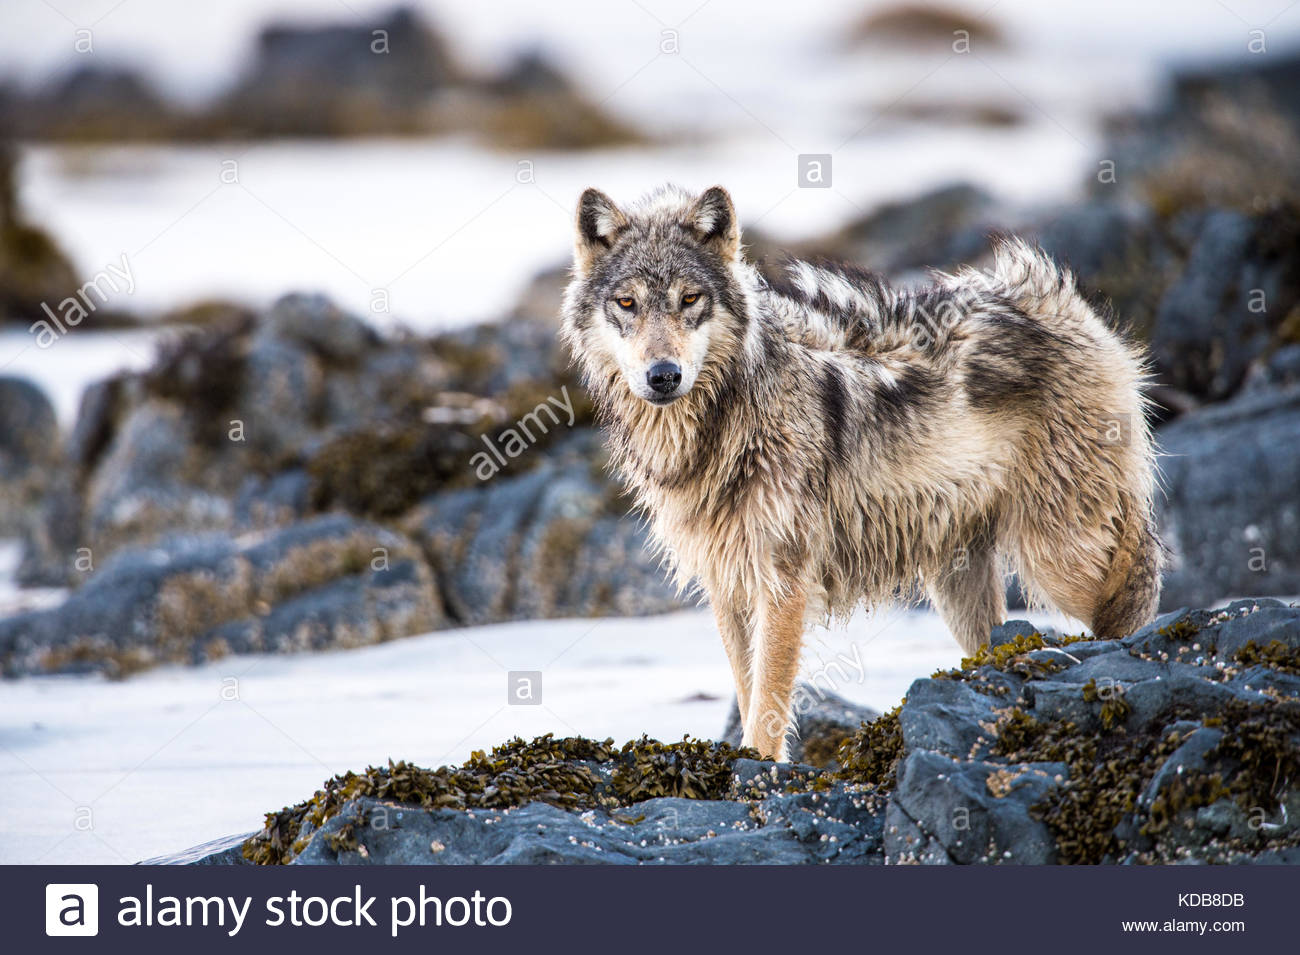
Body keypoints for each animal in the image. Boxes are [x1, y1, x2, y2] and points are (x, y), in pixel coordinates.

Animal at [561, 184, 1162, 761]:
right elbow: (747, 688)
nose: (664, 375)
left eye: (690, 299)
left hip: (1059, 560)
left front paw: (755, 769)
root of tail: (1065, 302)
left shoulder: (784, 582)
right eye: (627, 303)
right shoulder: (728, 584)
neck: (727, 417)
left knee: (1125, 618)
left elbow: (767, 704)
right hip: (959, 587)